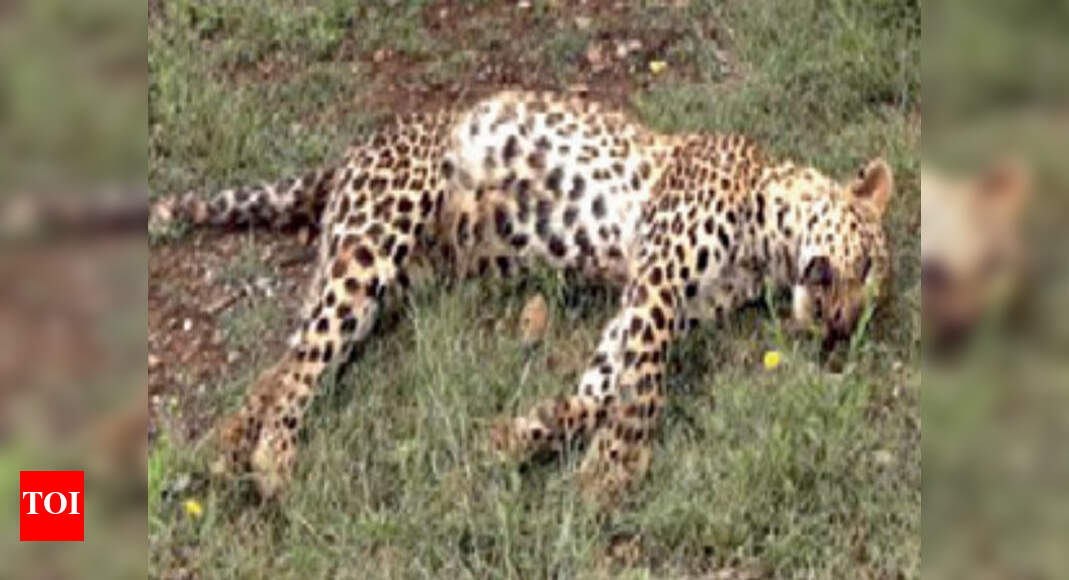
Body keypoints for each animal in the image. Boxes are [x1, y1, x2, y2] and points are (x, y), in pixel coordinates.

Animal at [151, 89, 895, 499]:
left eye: (865, 310)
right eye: (862, 263)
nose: (837, 325)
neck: (765, 245)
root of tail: (353, 155)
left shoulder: (651, 303)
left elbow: (599, 388)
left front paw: (516, 440)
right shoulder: (658, 281)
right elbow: (645, 385)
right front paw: (615, 471)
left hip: (373, 277)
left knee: (291, 356)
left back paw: (228, 444)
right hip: (376, 238)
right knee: (305, 363)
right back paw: (272, 458)